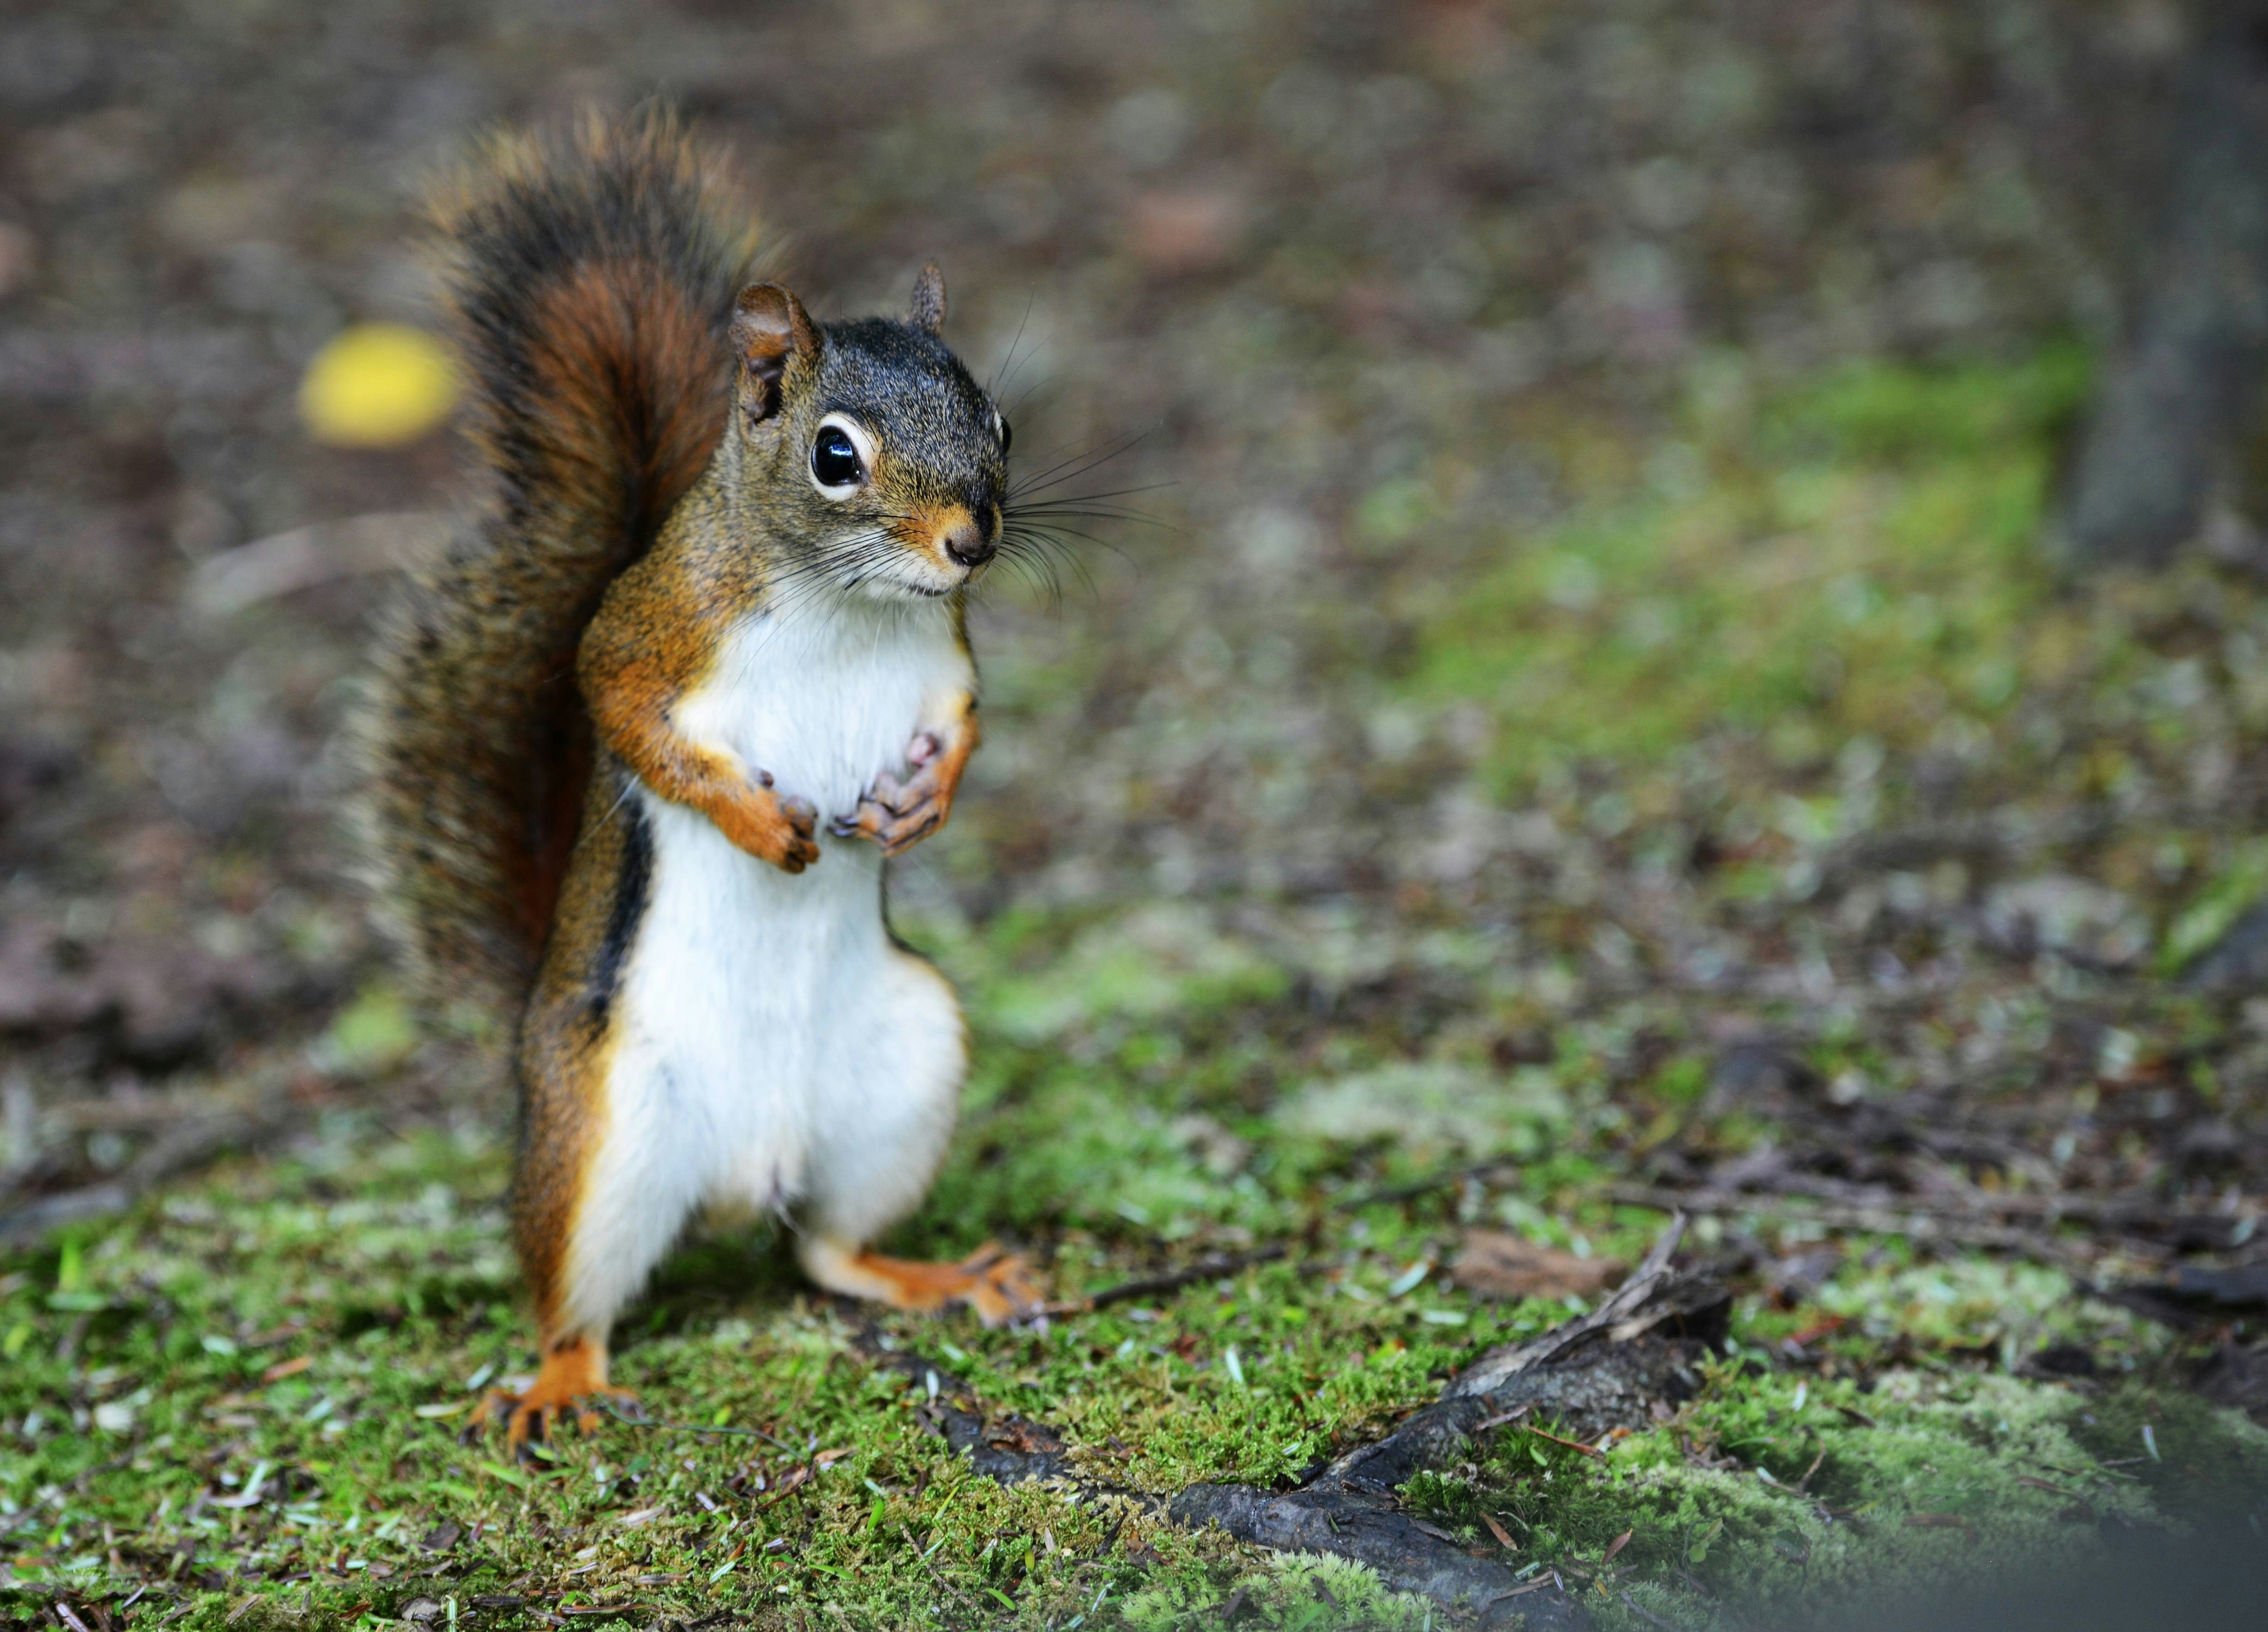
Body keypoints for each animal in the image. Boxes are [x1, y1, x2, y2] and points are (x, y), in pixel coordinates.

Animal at [356, 109, 1041, 1444]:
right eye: (835, 456)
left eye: (997, 424)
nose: (974, 540)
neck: (845, 604)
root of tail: (742, 1174)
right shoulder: (648, 633)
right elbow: (622, 713)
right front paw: (758, 825)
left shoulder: (945, 663)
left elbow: (965, 728)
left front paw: (921, 809)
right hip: (599, 1133)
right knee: (573, 1300)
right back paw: (560, 1387)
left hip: (901, 1075)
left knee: (826, 1252)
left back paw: (935, 1276)